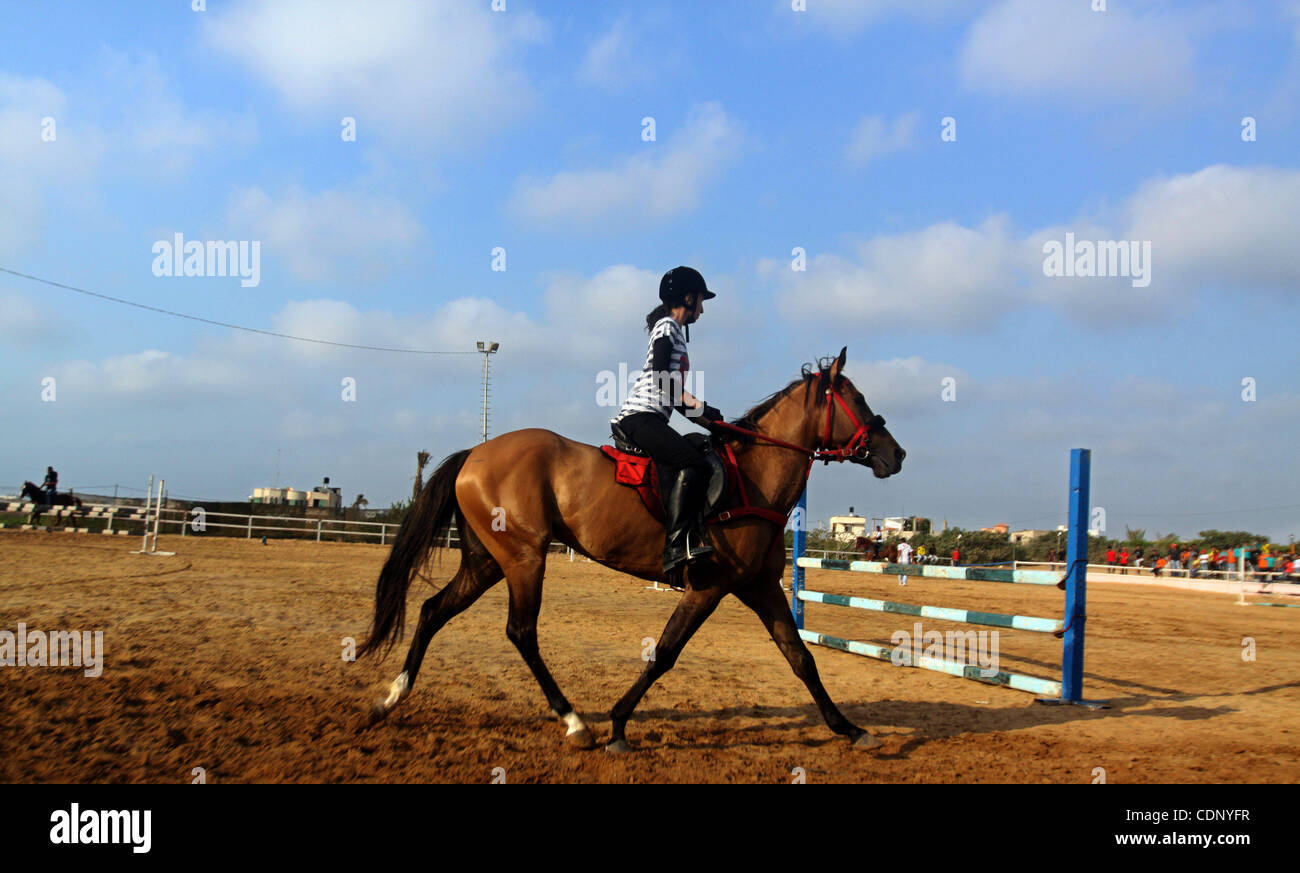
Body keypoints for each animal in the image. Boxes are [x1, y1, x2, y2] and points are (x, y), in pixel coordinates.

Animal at [358, 348, 906, 752]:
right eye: (856, 397)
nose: (896, 453)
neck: (753, 478)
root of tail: (475, 453)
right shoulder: (709, 588)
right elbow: (664, 654)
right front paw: (619, 725)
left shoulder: (760, 588)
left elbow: (801, 658)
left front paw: (850, 728)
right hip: (523, 559)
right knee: (521, 632)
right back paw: (575, 723)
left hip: (487, 561)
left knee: (433, 610)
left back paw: (390, 700)